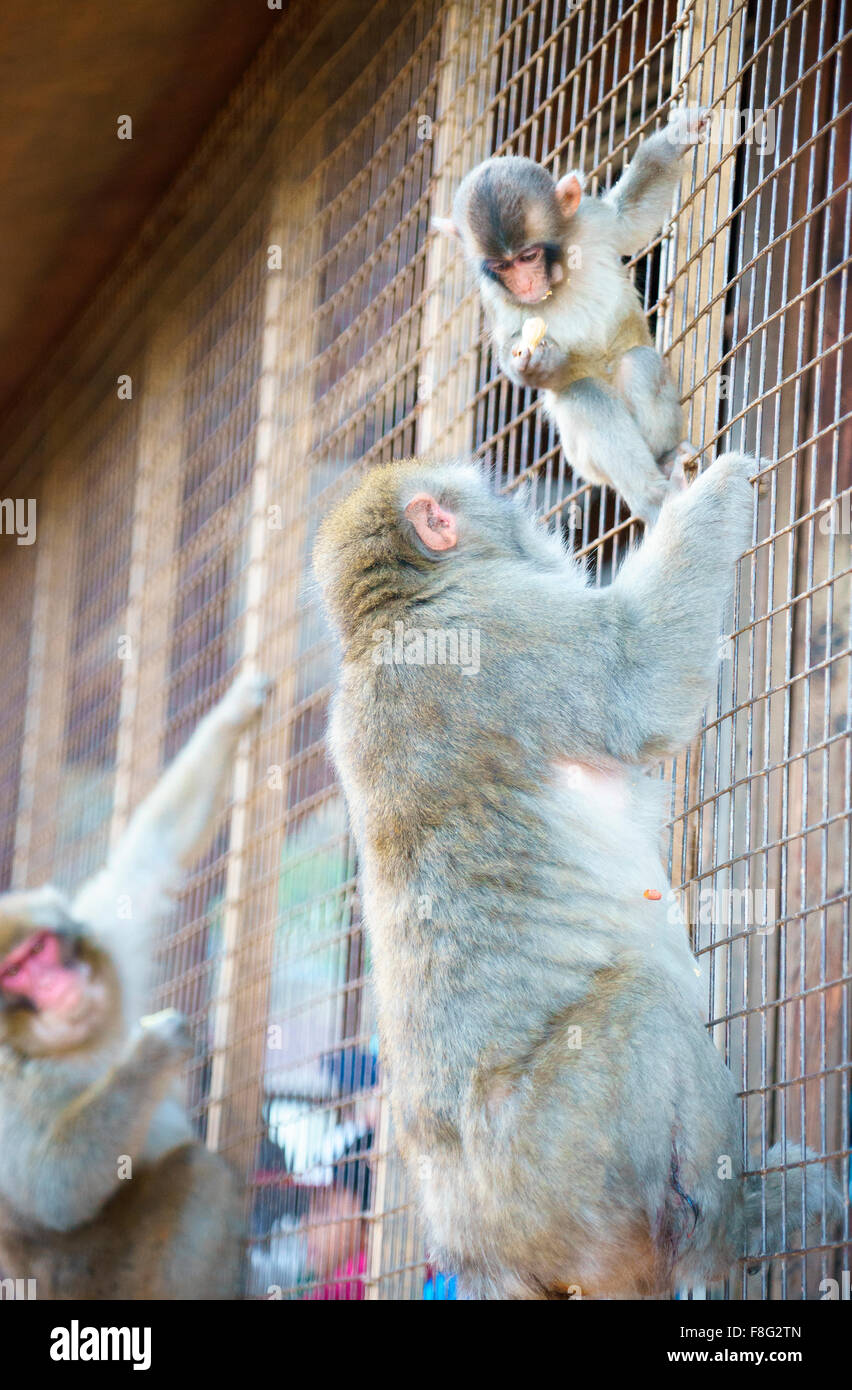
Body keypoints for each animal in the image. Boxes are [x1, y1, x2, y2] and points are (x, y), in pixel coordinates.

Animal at [0, 669, 271, 1300]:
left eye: (39, 950)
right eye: (16, 972)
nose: (54, 984)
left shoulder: (107, 934)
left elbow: (155, 848)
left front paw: (234, 709)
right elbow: (54, 1186)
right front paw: (151, 1052)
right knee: (200, 1177)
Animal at [313, 457, 845, 1299]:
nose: (527, 503)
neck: (392, 615)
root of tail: (489, 1249)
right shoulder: (499, 625)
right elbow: (637, 672)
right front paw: (714, 491)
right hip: (571, 1160)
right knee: (644, 1004)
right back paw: (737, 1229)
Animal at [435, 109, 710, 525]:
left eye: (528, 256)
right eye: (503, 266)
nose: (524, 283)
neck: (558, 273)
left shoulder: (592, 222)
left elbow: (631, 218)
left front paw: (677, 136)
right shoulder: (494, 296)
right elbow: (508, 348)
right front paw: (533, 364)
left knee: (639, 364)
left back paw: (665, 461)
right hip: (582, 461)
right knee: (585, 396)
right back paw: (652, 498)